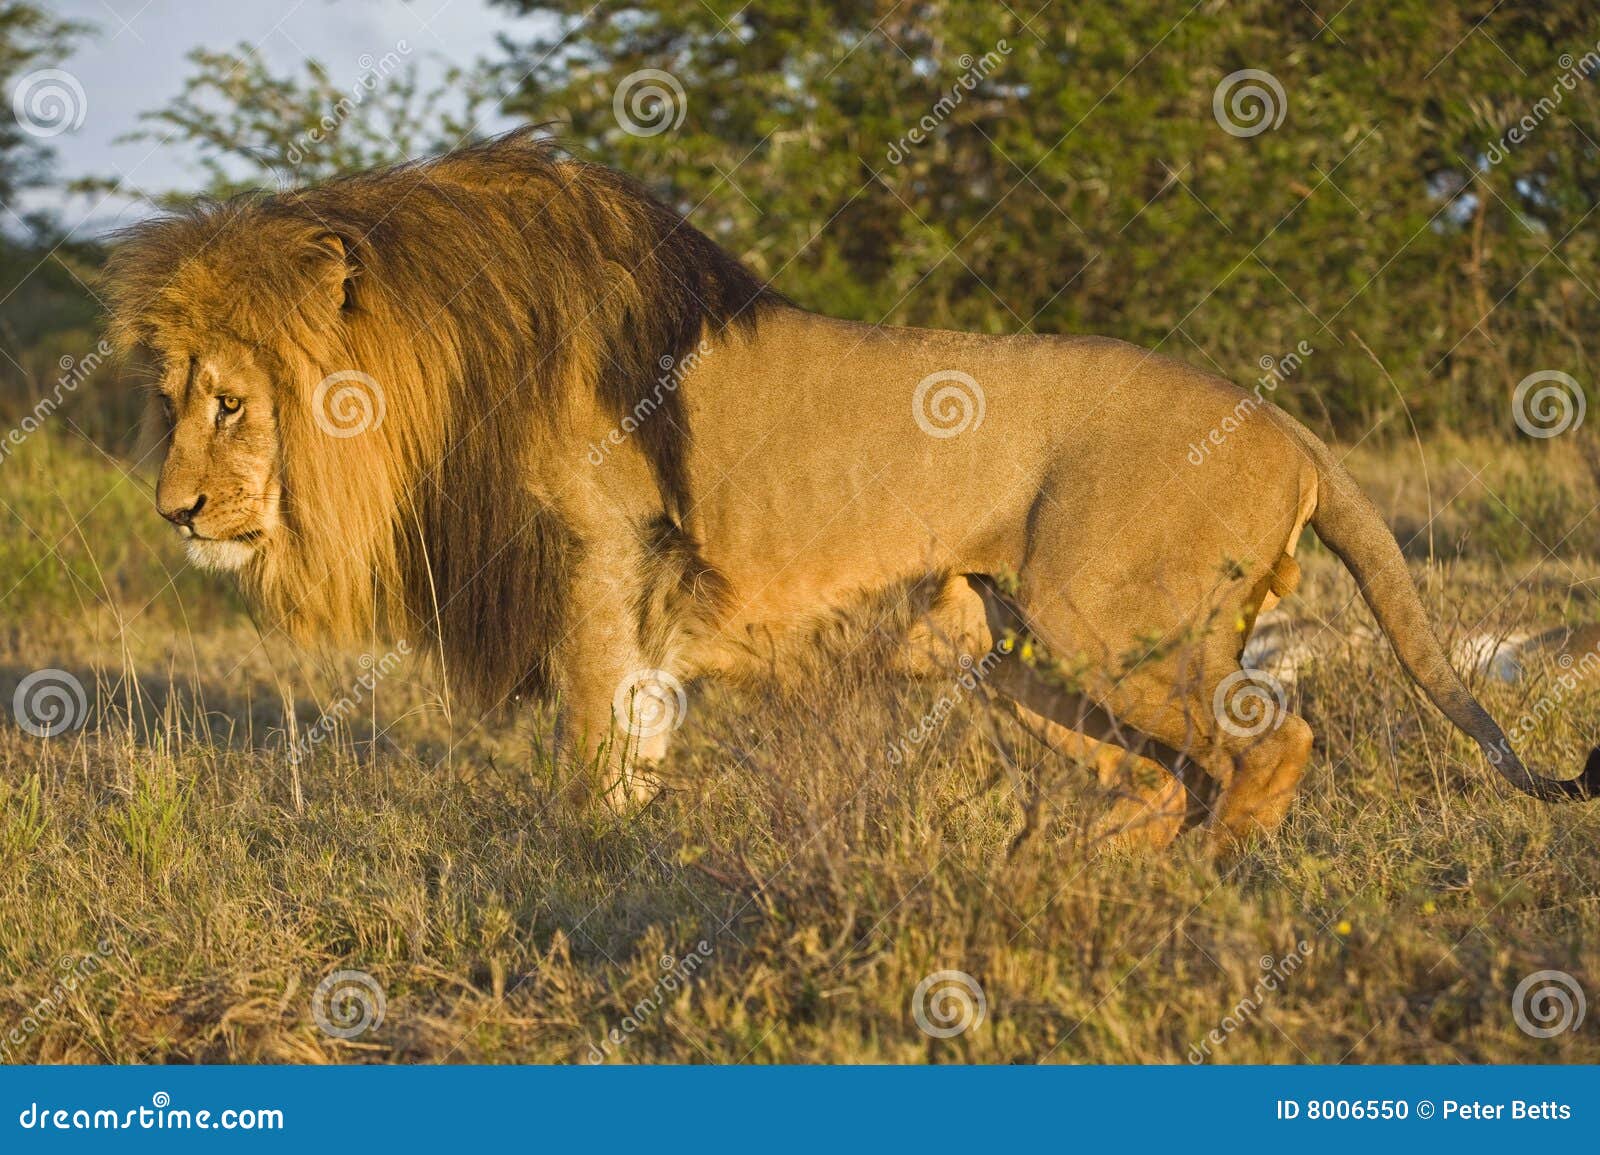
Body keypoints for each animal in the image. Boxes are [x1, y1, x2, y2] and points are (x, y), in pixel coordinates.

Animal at [102, 130, 1598, 853]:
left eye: (231, 402)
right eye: (168, 399)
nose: (172, 512)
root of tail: (1291, 424)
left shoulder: (601, 564)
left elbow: (598, 744)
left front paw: (579, 864)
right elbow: (639, 735)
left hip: (1112, 622)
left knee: (1267, 745)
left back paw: (1206, 882)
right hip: (1017, 657)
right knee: (1163, 777)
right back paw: (1074, 878)